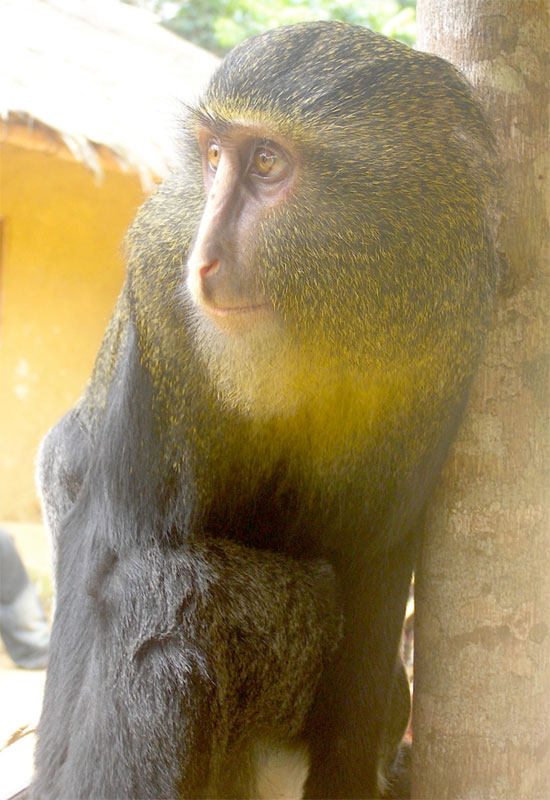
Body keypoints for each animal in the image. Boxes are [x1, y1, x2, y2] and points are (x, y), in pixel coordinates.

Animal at [30, 20, 497, 800]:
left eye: (269, 163)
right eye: (216, 158)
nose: (203, 259)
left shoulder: (449, 339)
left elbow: (376, 566)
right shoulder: (157, 283)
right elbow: (112, 548)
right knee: (167, 587)